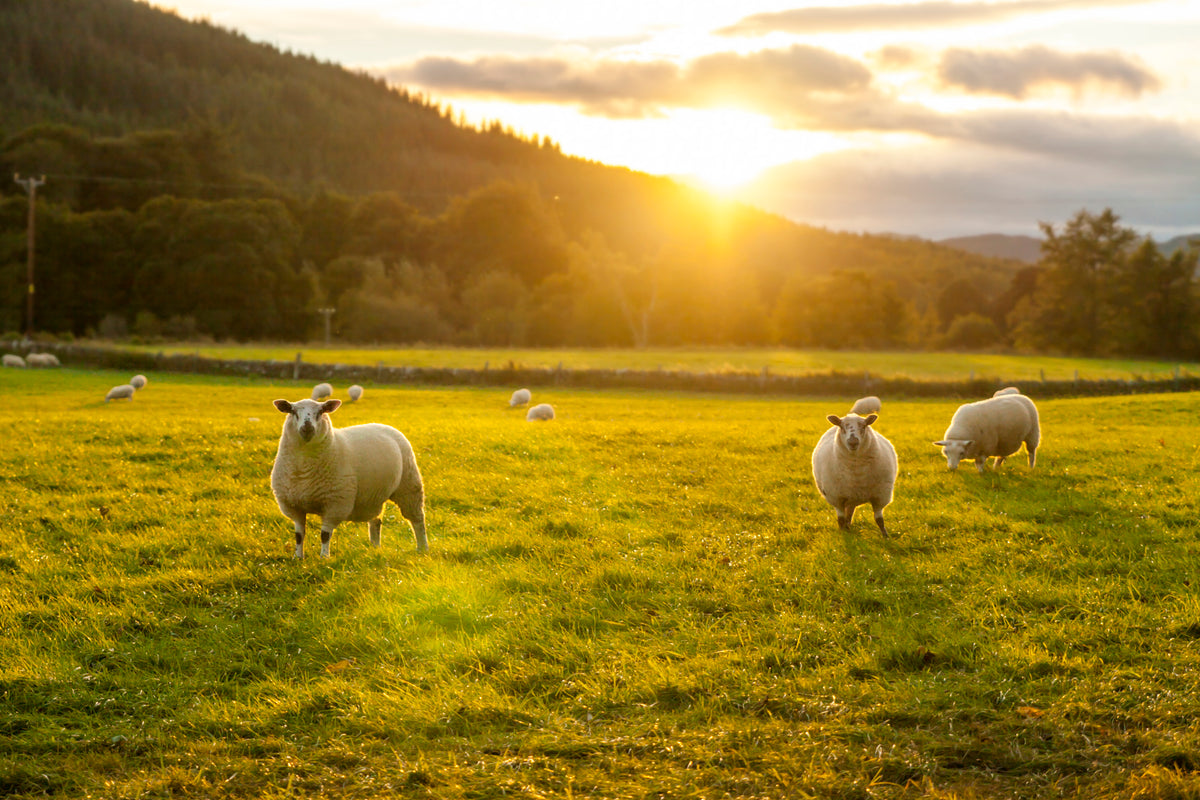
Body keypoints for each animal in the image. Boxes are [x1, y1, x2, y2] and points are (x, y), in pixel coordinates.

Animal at [270, 397, 427, 558]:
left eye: (321, 412)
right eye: (293, 411)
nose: (307, 428)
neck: (304, 470)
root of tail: (382, 424)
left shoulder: (335, 504)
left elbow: (325, 535)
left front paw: (324, 557)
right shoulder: (293, 506)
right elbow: (299, 535)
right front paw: (298, 557)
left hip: (409, 485)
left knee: (417, 519)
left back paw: (422, 548)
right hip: (374, 496)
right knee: (376, 521)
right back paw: (375, 547)